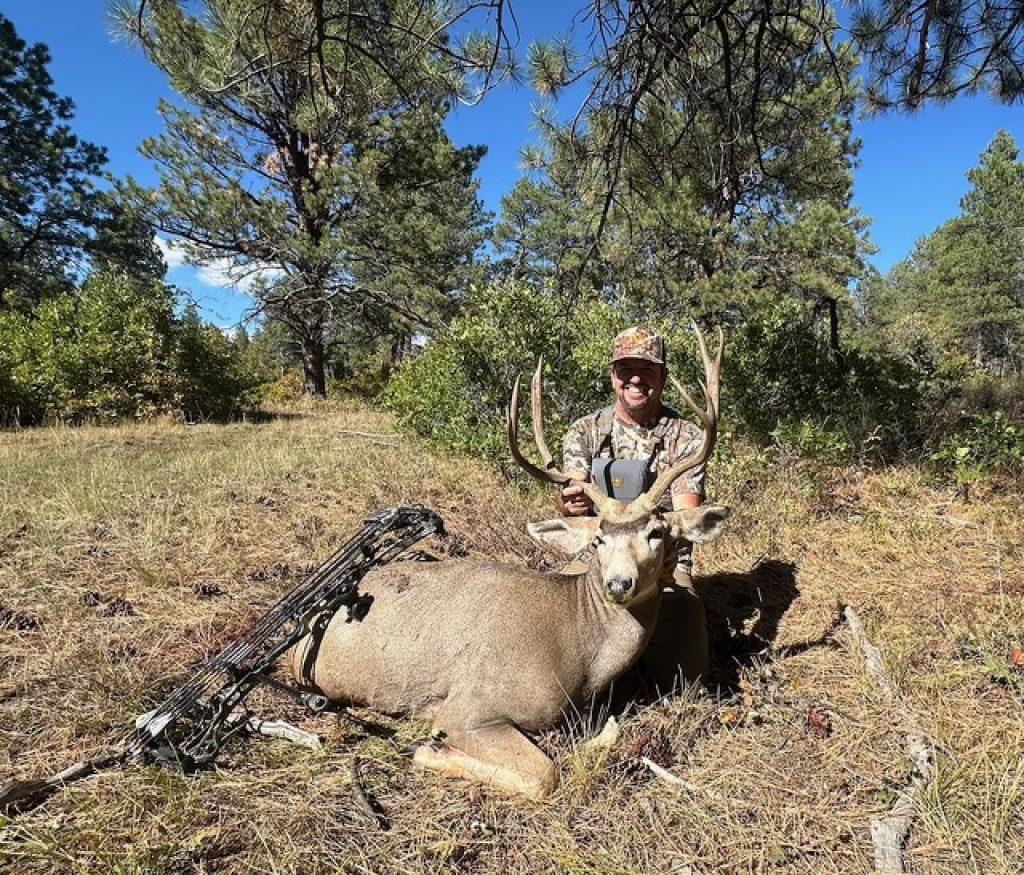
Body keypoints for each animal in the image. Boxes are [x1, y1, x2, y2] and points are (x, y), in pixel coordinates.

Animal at [287, 324, 728, 799]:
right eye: (598, 539)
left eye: (656, 533)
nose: (618, 584)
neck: (579, 649)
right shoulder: (470, 706)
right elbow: (545, 774)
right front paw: (429, 748)